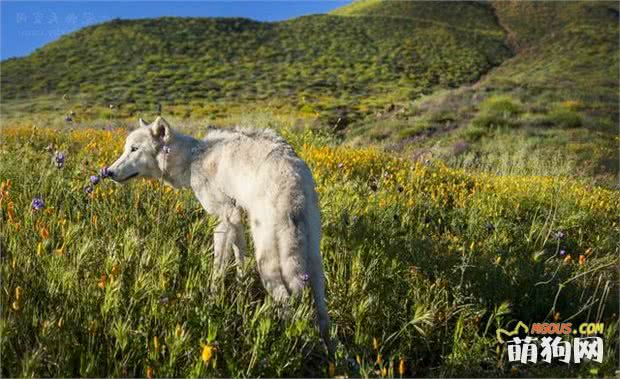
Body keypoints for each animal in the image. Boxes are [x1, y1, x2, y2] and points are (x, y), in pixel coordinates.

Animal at [108, 117, 330, 342]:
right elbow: (240, 257)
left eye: (134, 149)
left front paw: (211, 303)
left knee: (287, 303)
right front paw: (241, 291)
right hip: (314, 264)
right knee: (321, 312)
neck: (193, 159)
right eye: (126, 148)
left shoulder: (224, 220)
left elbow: (218, 269)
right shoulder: (237, 218)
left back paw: (286, 338)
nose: (108, 172)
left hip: (269, 264)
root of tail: (294, 178)